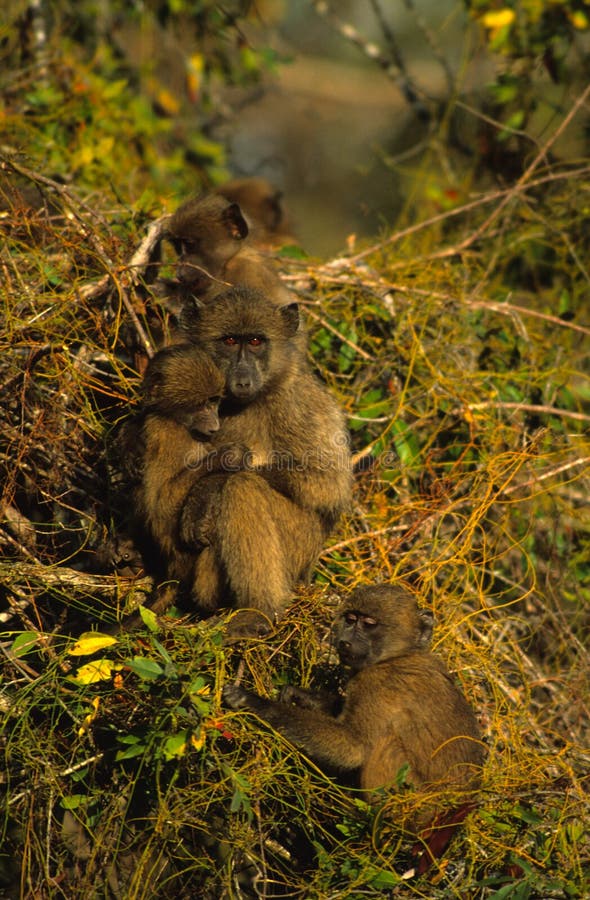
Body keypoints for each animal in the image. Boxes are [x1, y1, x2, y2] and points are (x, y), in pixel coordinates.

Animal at [178, 286, 353, 636]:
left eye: (257, 341)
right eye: (230, 341)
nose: (243, 380)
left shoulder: (297, 403)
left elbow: (325, 482)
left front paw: (206, 490)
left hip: (300, 546)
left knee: (243, 487)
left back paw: (259, 612)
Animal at [224, 583, 485, 839]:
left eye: (368, 624)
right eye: (350, 619)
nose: (344, 641)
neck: (399, 655)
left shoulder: (376, 682)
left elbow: (354, 746)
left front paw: (254, 702)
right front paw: (298, 695)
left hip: (411, 806)